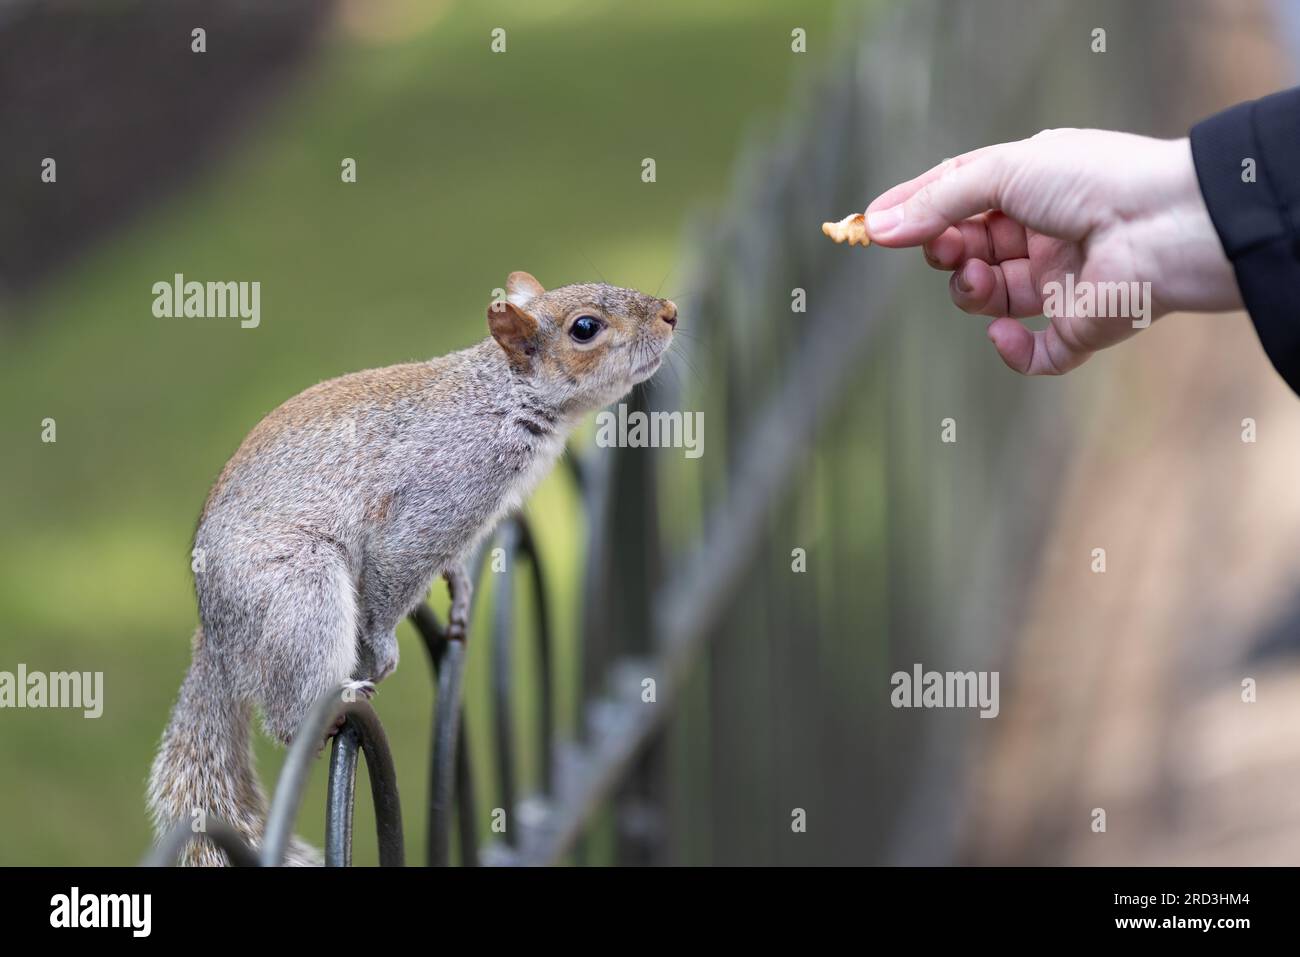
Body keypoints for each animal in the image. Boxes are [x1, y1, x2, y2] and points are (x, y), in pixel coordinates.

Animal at [147, 271, 677, 865]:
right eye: (585, 328)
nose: (670, 312)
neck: (503, 396)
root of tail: (215, 636)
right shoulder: (436, 495)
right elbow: (395, 570)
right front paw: (383, 644)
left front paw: (459, 585)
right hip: (298, 587)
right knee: (285, 716)